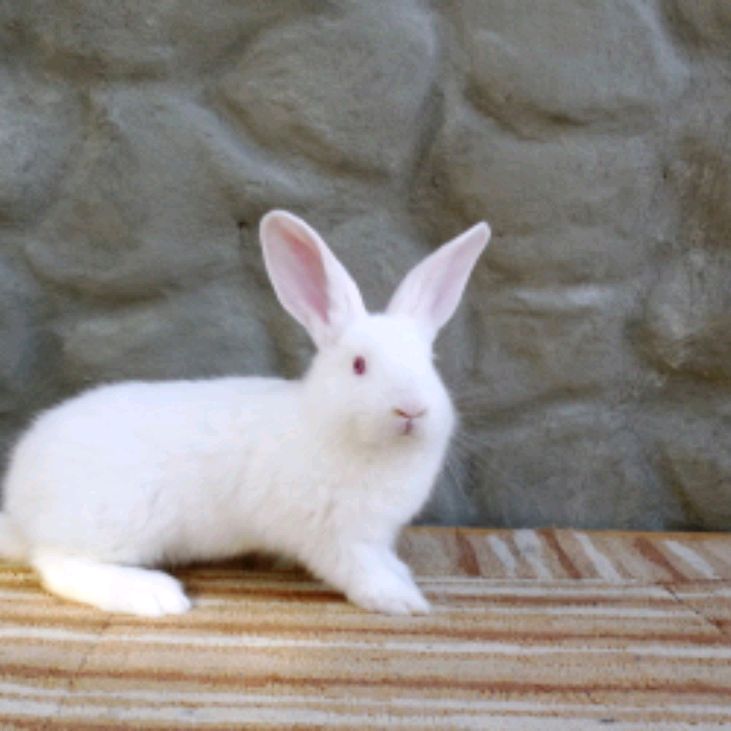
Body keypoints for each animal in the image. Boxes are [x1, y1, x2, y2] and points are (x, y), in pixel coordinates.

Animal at [0, 210, 490, 617]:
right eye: (359, 365)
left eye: (430, 362)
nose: (412, 409)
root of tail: (21, 506)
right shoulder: (335, 536)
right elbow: (359, 571)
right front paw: (401, 601)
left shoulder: (374, 535)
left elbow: (385, 560)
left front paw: (403, 579)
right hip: (113, 522)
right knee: (58, 566)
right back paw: (153, 595)